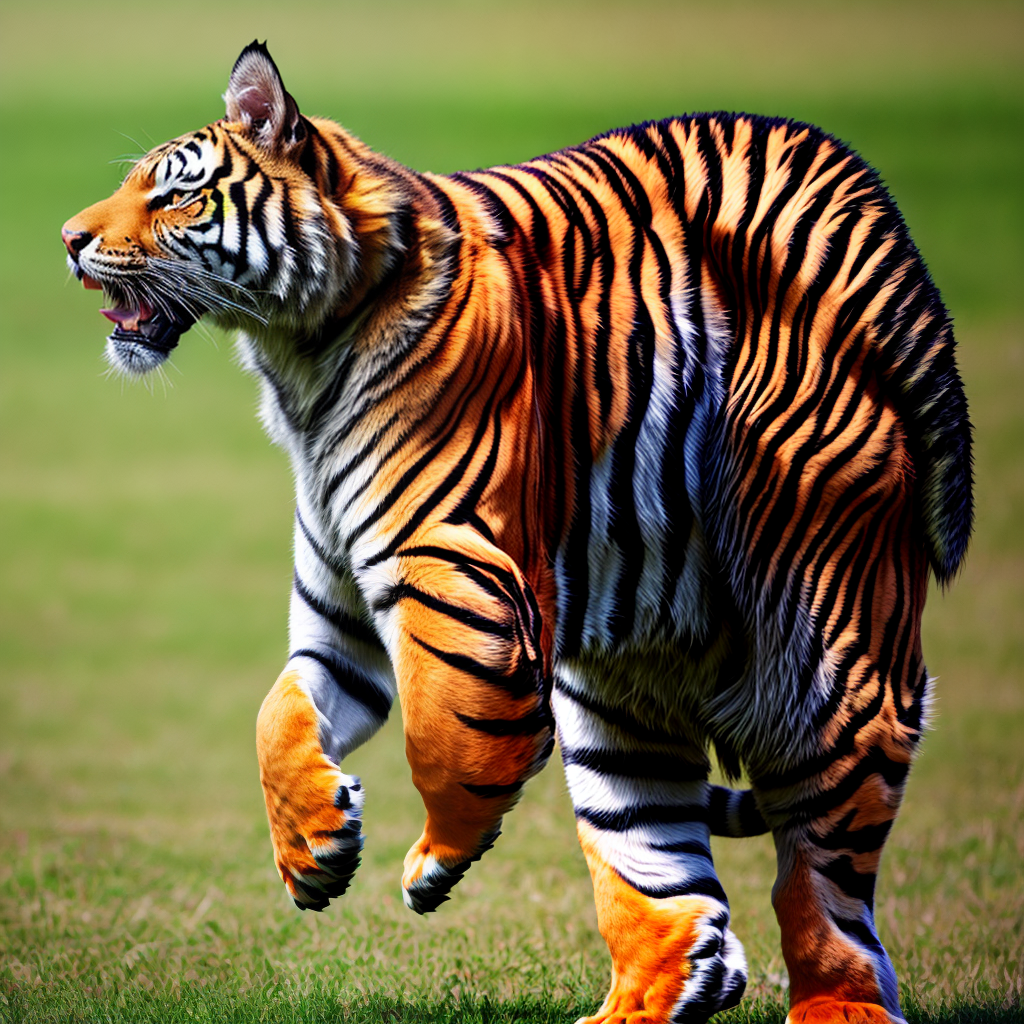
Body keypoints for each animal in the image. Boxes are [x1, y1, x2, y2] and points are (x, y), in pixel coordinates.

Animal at [62, 41, 972, 1024]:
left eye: (175, 195)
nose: (68, 240)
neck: (299, 359)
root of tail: (882, 231)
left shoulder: (453, 568)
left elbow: (443, 731)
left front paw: (434, 862)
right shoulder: (339, 614)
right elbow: (278, 715)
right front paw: (314, 853)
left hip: (827, 640)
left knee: (824, 874)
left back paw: (834, 1001)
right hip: (624, 685)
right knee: (661, 870)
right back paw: (643, 1001)